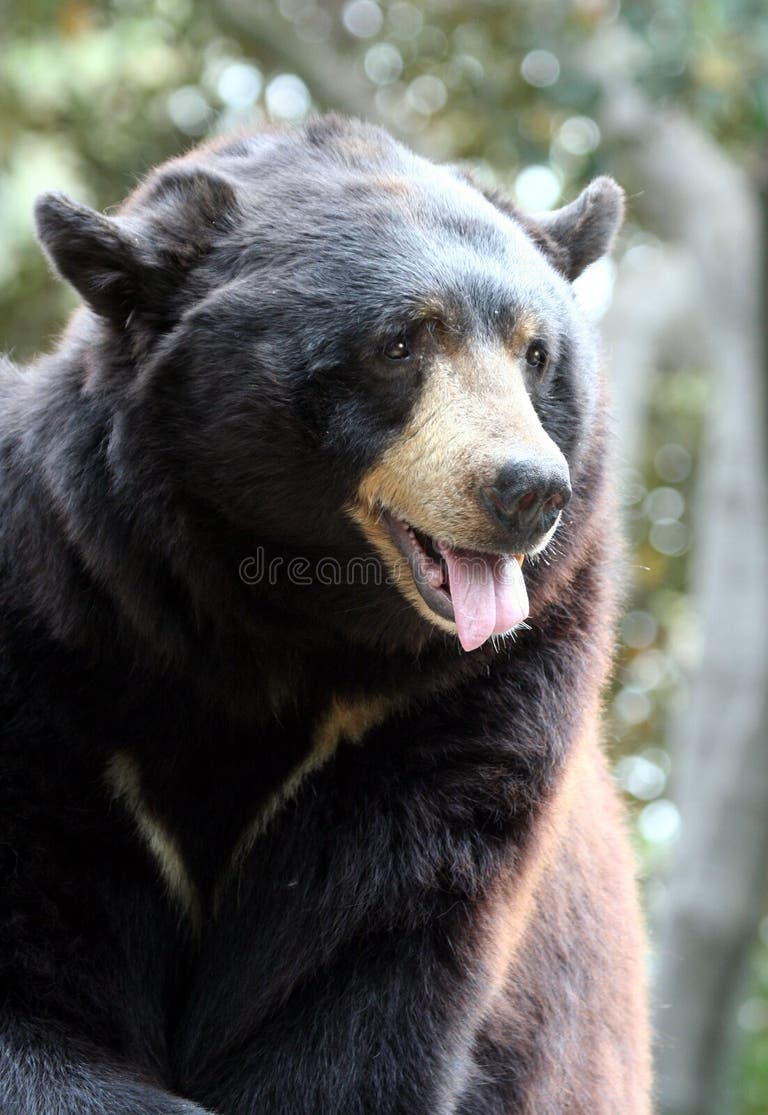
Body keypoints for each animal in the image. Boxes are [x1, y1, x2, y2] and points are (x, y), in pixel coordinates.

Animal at [0, 116, 650, 1114]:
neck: (278, 624)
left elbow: (357, 965)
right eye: (401, 343)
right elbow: (37, 969)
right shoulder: (58, 635)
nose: (528, 489)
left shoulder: (474, 693)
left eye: (536, 352)